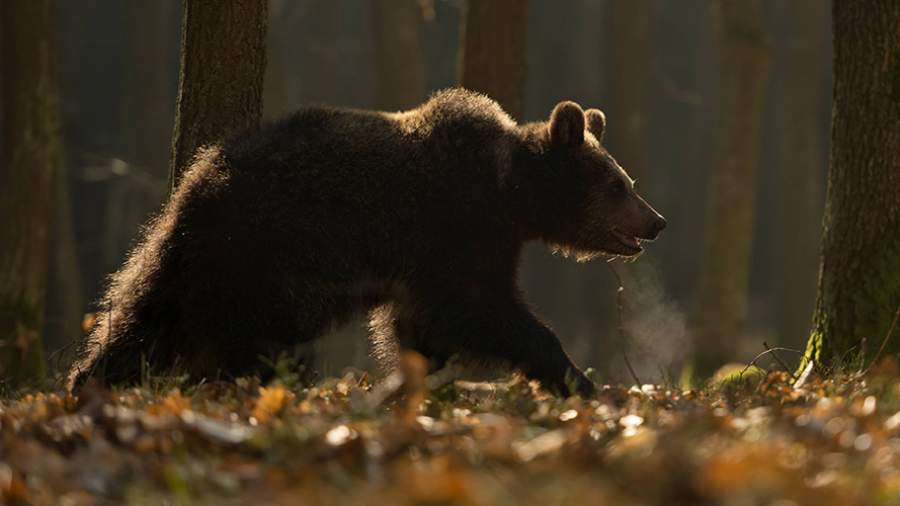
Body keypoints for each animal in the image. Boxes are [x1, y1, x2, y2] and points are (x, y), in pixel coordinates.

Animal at [67, 88, 665, 396]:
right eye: (618, 184)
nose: (656, 221)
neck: (510, 193)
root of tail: (198, 179)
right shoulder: (456, 230)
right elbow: (485, 310)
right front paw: (576, 379)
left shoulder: (430, 264)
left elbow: (421, 326)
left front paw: (422, 376)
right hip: (267, 254)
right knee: (247, 334)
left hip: (199, 257)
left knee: (142, 315)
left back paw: (91, 380)